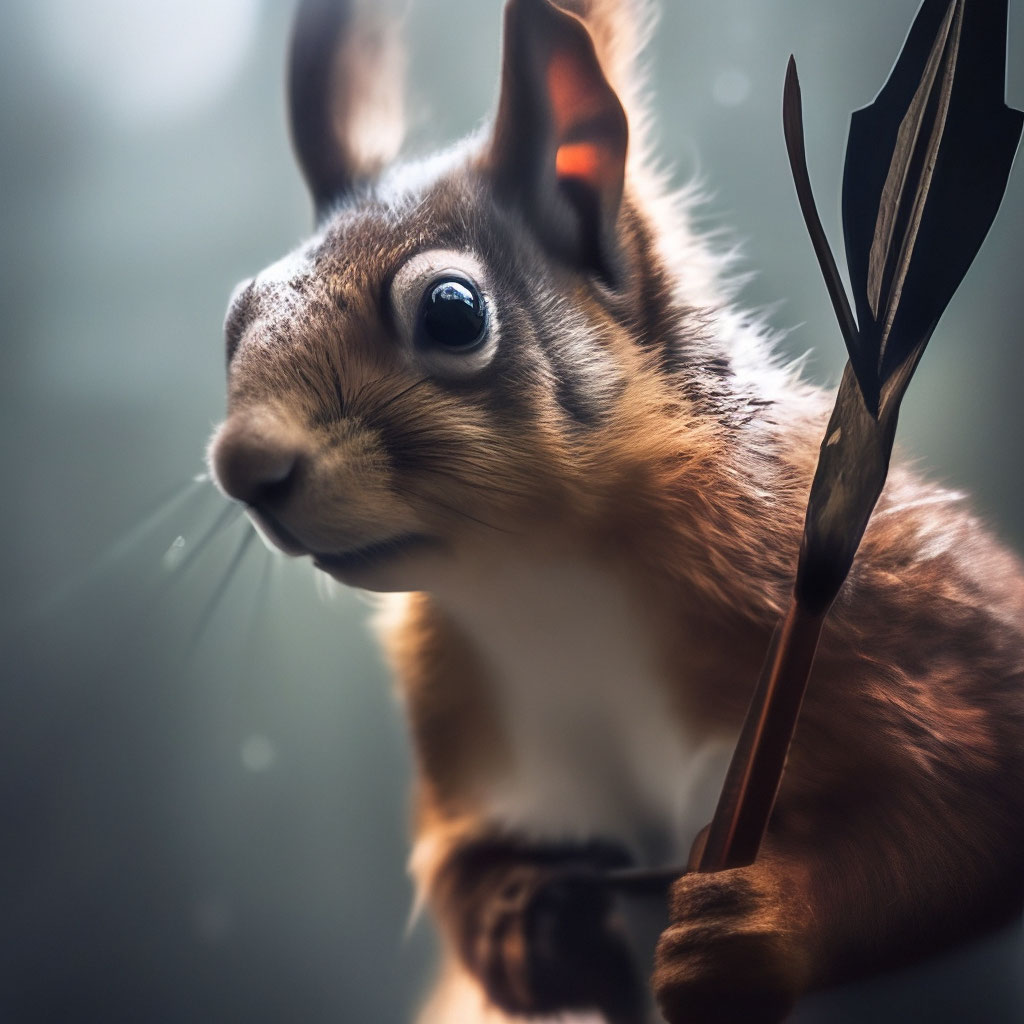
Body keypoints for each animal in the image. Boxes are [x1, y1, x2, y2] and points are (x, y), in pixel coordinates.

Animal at [208, 1, 1024, 1021]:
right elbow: (454, 862)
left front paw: (751, 935)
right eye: (234, 316)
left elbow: (964, 828)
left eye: (451, 312)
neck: (543, 581)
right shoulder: (465, 741)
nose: (243, 466)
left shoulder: (902, 627)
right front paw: (513, 927)